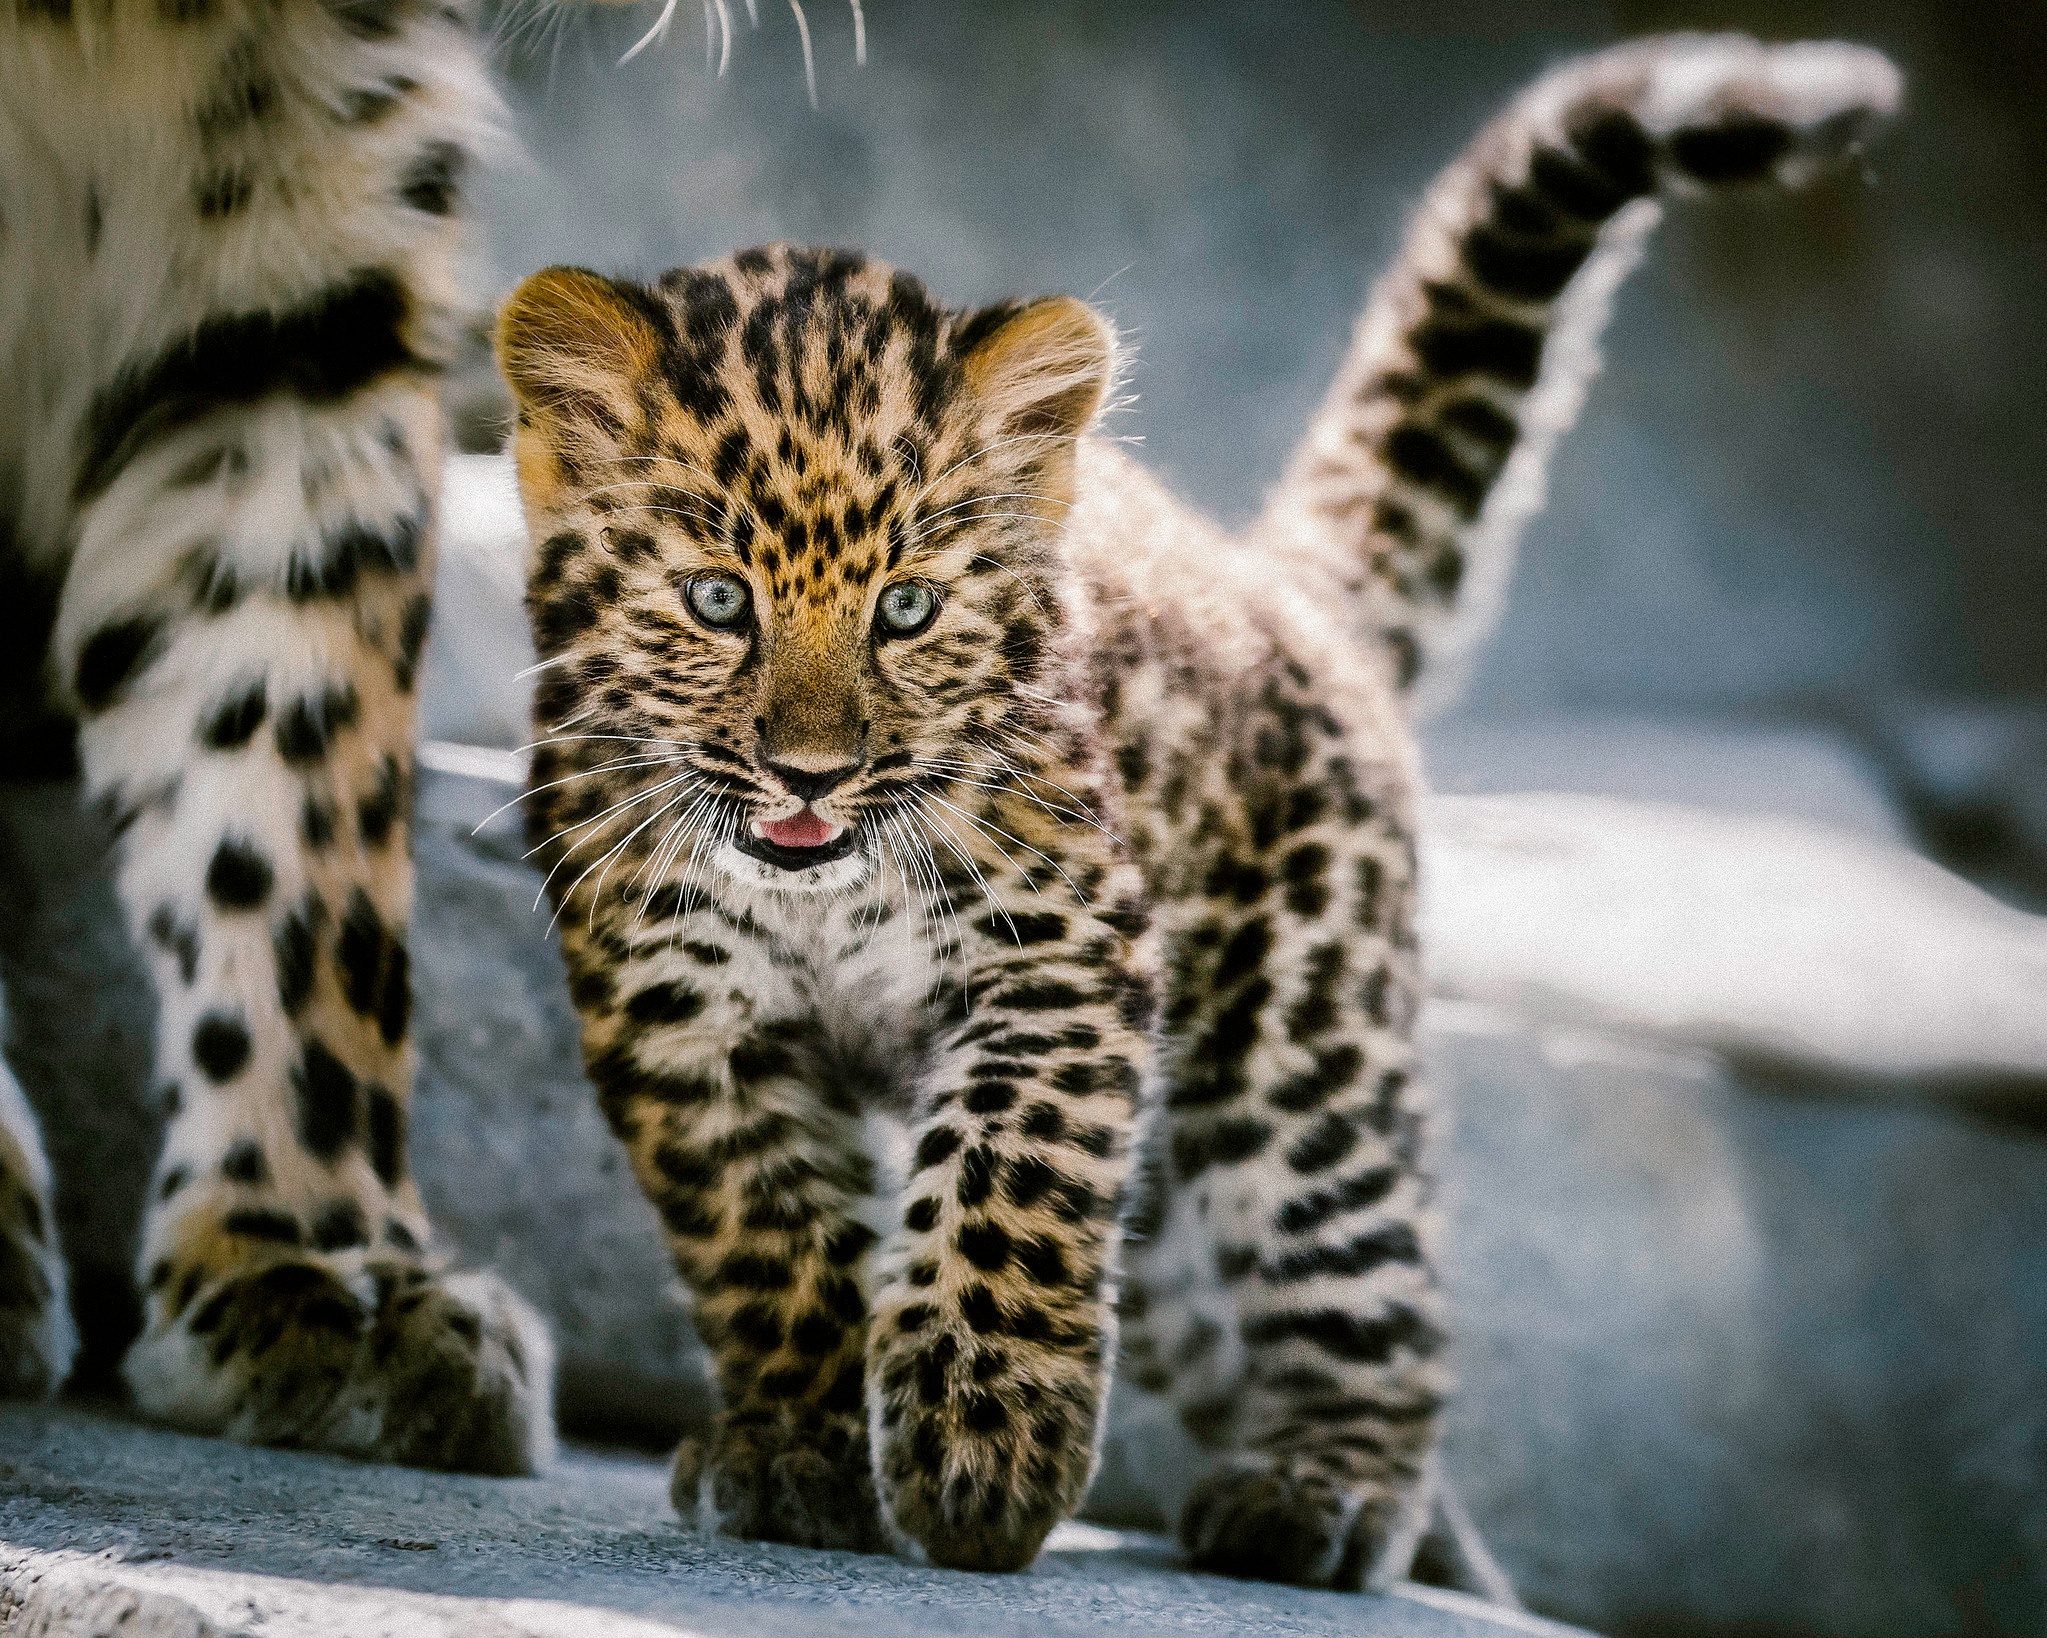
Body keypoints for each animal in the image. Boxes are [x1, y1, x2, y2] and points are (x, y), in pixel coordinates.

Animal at [491, 34, 1901, 1583]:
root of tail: (1273, 582)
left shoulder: (1056, 960)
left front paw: (984, 1449)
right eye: (716, 600)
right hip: (1171, 1213)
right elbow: (769, 1240)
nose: (810, 770)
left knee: (1373, 1297)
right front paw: (796, 1445)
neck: (824, 891)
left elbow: (1002, 1183)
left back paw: (1322, 1493)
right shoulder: (688, 1015)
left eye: (906, 609)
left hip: (1297, 1055)